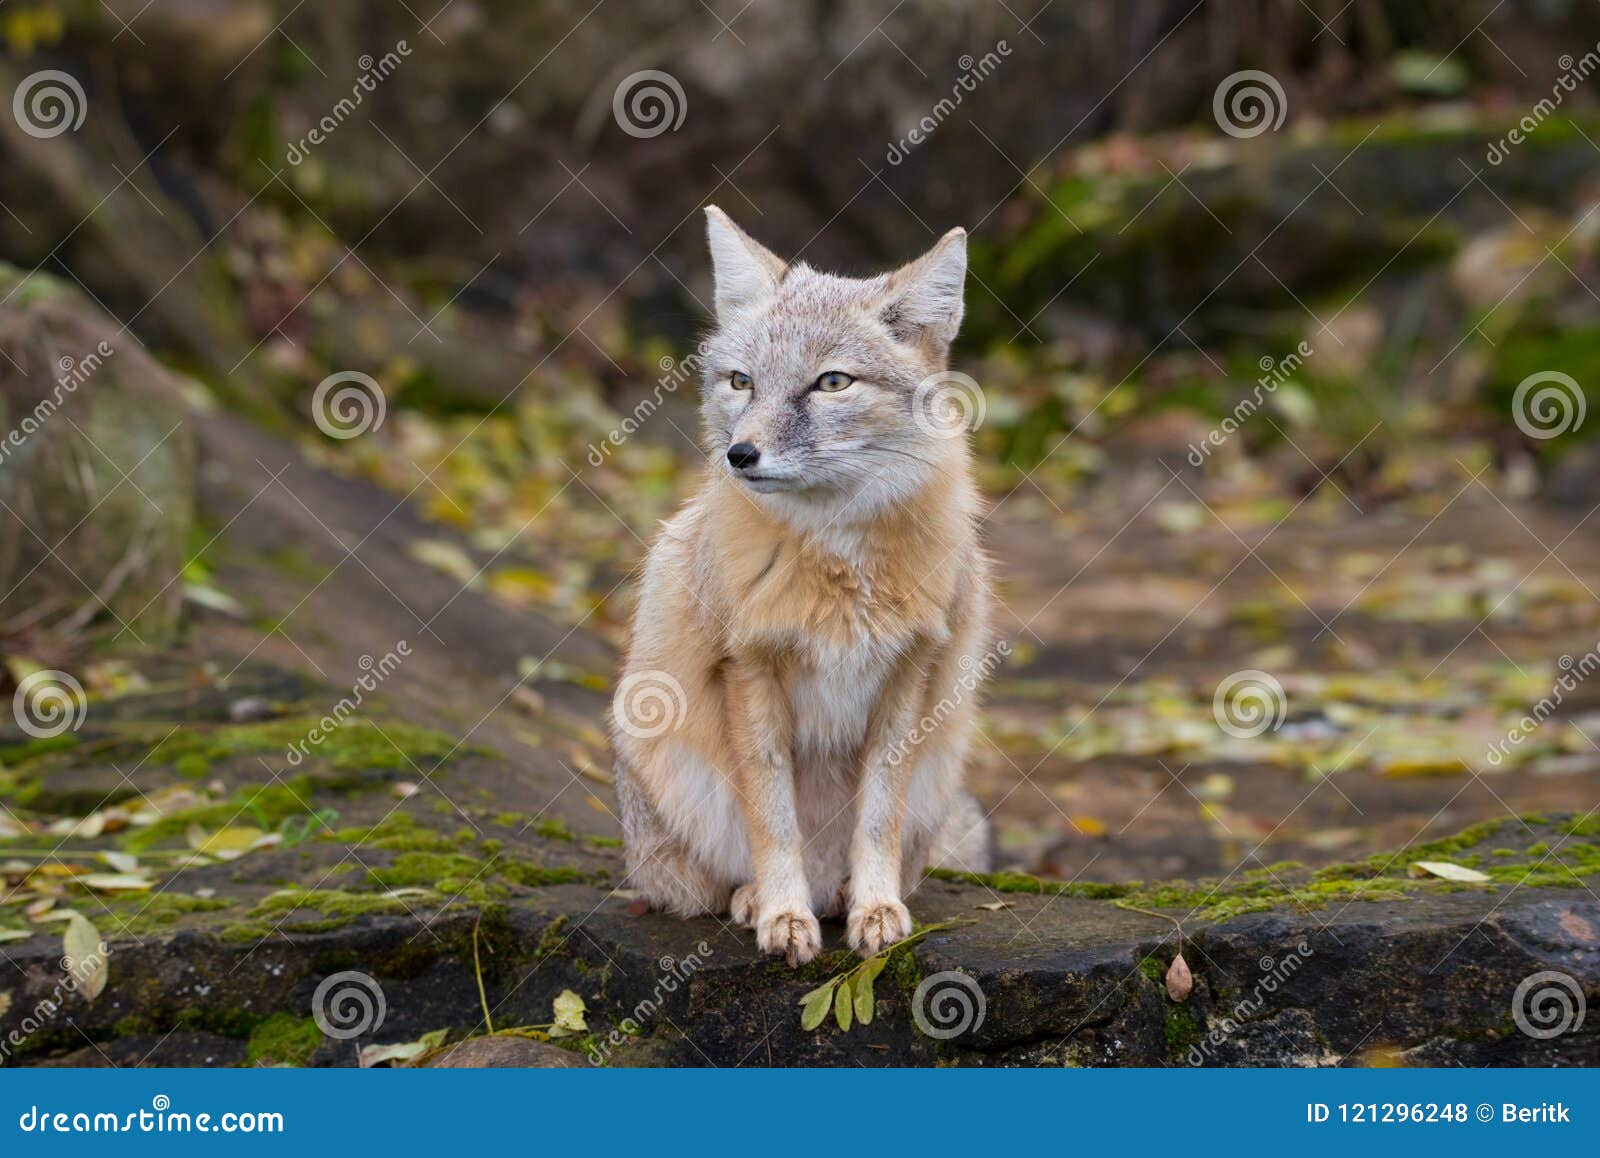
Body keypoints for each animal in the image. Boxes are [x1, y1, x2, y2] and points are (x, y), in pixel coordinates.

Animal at [612, 206, 995, 966]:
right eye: (740, 382)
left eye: (832, 383)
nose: (741, 454)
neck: (840, 567)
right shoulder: (749, 670)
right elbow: (774, 818)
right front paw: (782, 913)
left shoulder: (907, 673)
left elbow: (876, 818)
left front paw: (876, 906)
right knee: (707, 881)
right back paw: (758, 898)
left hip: (941, 760)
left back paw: (842, 897)